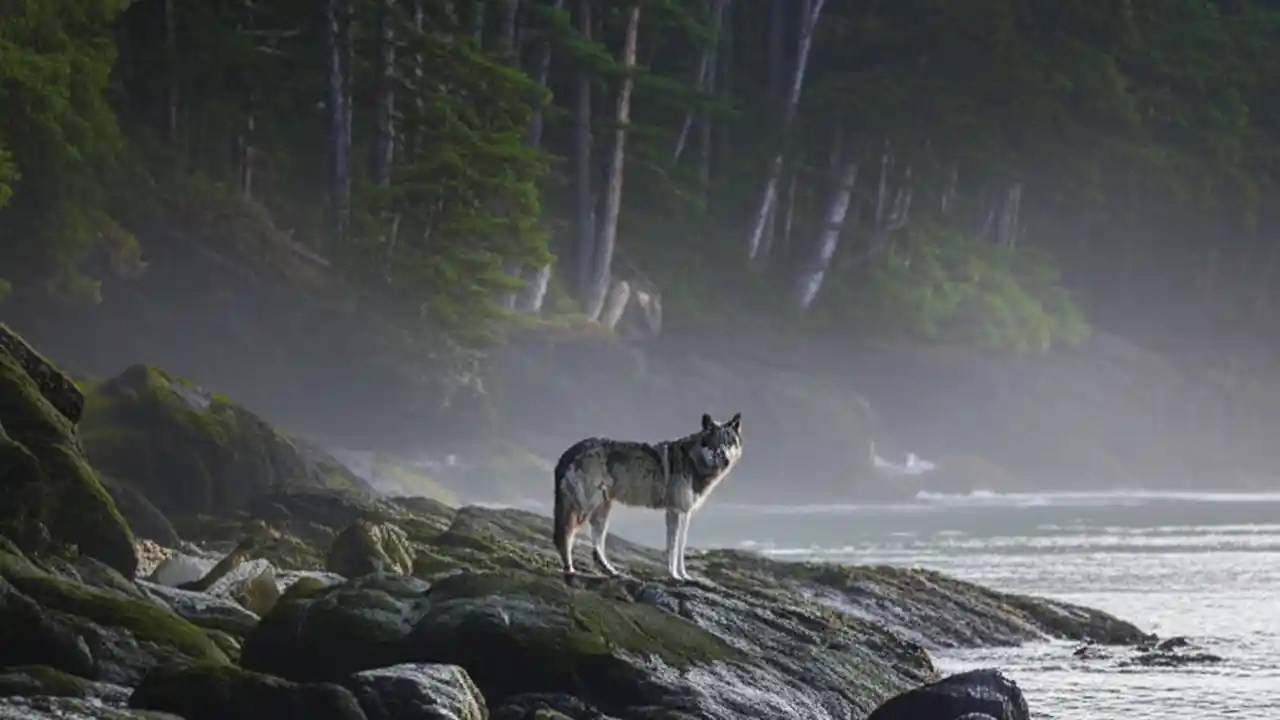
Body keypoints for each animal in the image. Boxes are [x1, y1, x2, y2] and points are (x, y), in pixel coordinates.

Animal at [552, 412, 743, 581]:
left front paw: (685, 576)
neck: (693, 462)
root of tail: (571, 449)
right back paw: (571, 569)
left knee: (596, 545)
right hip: (584, 508)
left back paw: (611, 571)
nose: (726, 460)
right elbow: (672, 548)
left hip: (602, 510)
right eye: (716, 444)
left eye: (730, 443)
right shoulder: (673, 511)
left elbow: (681, 548)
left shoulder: (686, 513)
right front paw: (674, 576)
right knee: (566, 536)